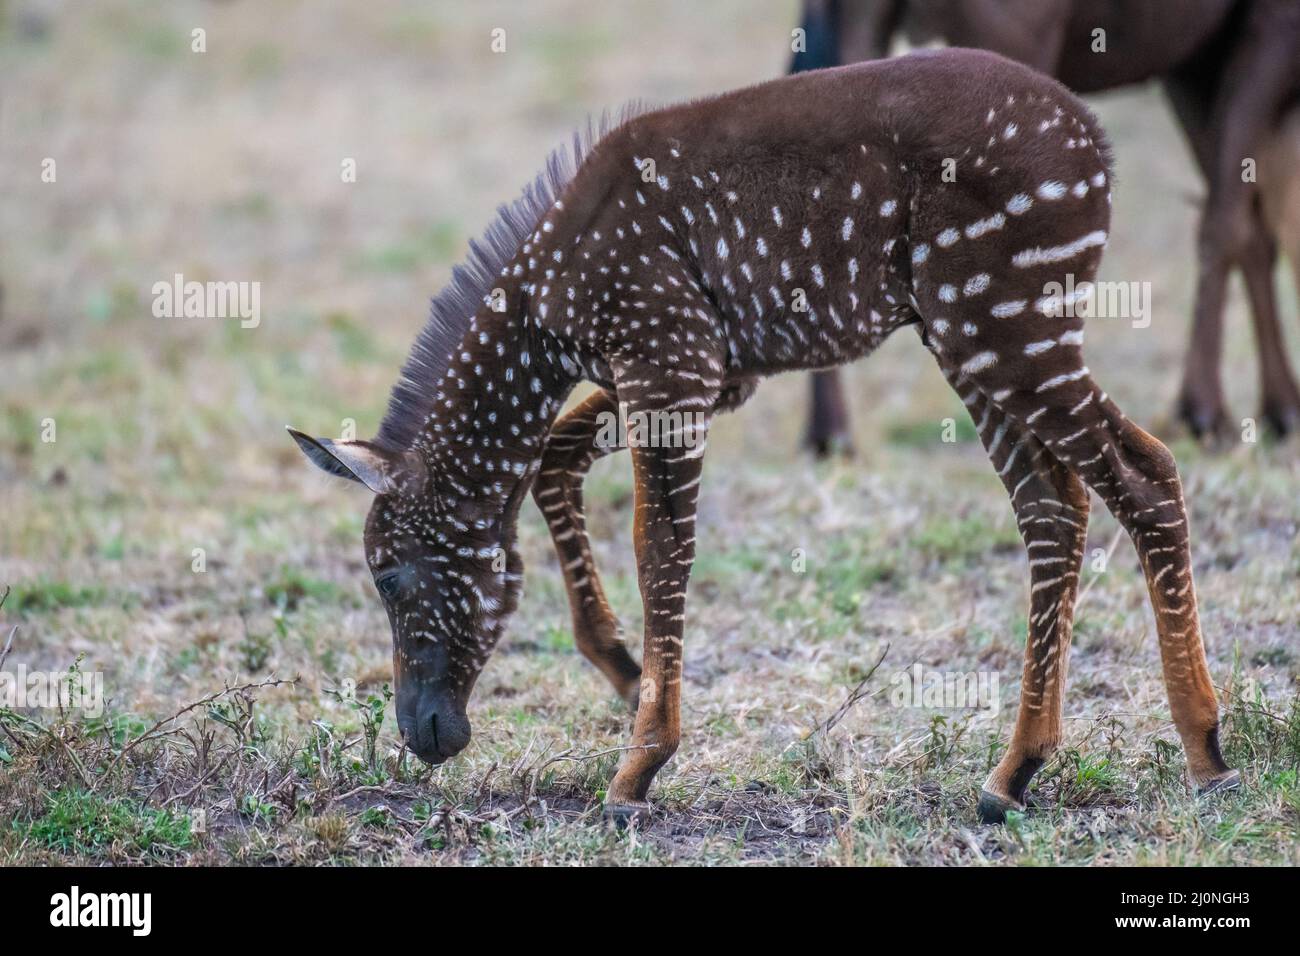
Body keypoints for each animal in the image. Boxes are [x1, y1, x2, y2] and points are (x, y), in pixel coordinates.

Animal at [290, 48, 1237, 823]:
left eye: (390, 576)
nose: (422, 734)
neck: (544, 298)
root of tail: (1094, 142)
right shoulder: (709, 373)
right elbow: (556, 457)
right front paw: (621, 665)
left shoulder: (667, 362)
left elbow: (659, 546)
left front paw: (639, 765)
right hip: (971, 338)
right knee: (1055, 506)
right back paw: (1016, 771)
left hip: (1005, 325)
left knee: (1143, 474)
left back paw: (1205, 750)